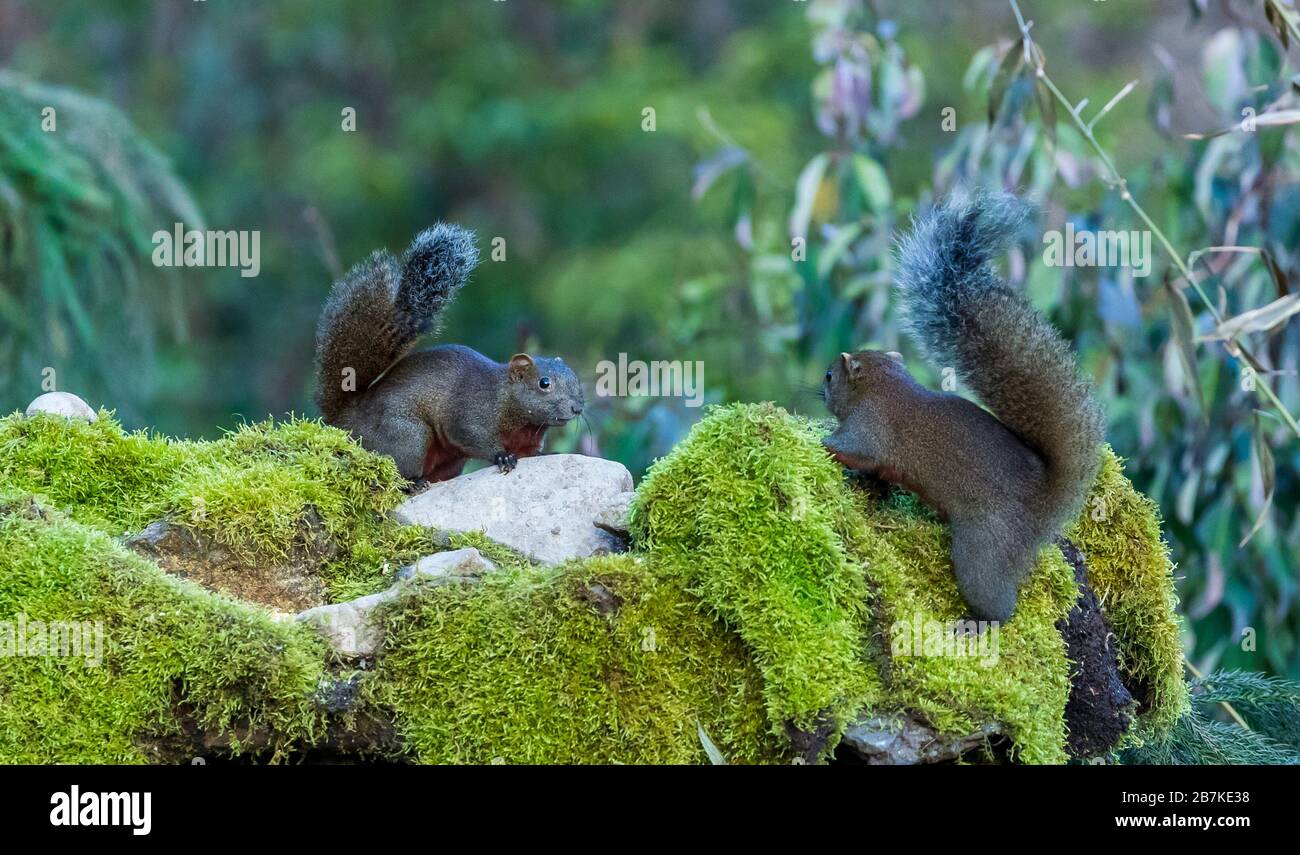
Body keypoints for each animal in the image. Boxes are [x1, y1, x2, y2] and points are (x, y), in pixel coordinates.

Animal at [314, 223, 585, 484]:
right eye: (544, 383)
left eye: (576, 380)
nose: (577, 408)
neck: (509, 404)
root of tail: (344, 422)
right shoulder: (469, 415)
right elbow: (472, 437)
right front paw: (502, 456)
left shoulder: (527, 442)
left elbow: (532, 453)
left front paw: (548, 453)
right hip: (409, 436)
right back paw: (414, 482)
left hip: (450, 461)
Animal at [822, 191, 1105, 623]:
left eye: (828, 377)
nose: (821, 391)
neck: (884, 386)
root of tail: (1045, 508)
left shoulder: (869, 425)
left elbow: (854, 448)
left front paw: (823, 443)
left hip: (983, 549)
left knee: (998, 603)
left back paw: (977, 623)